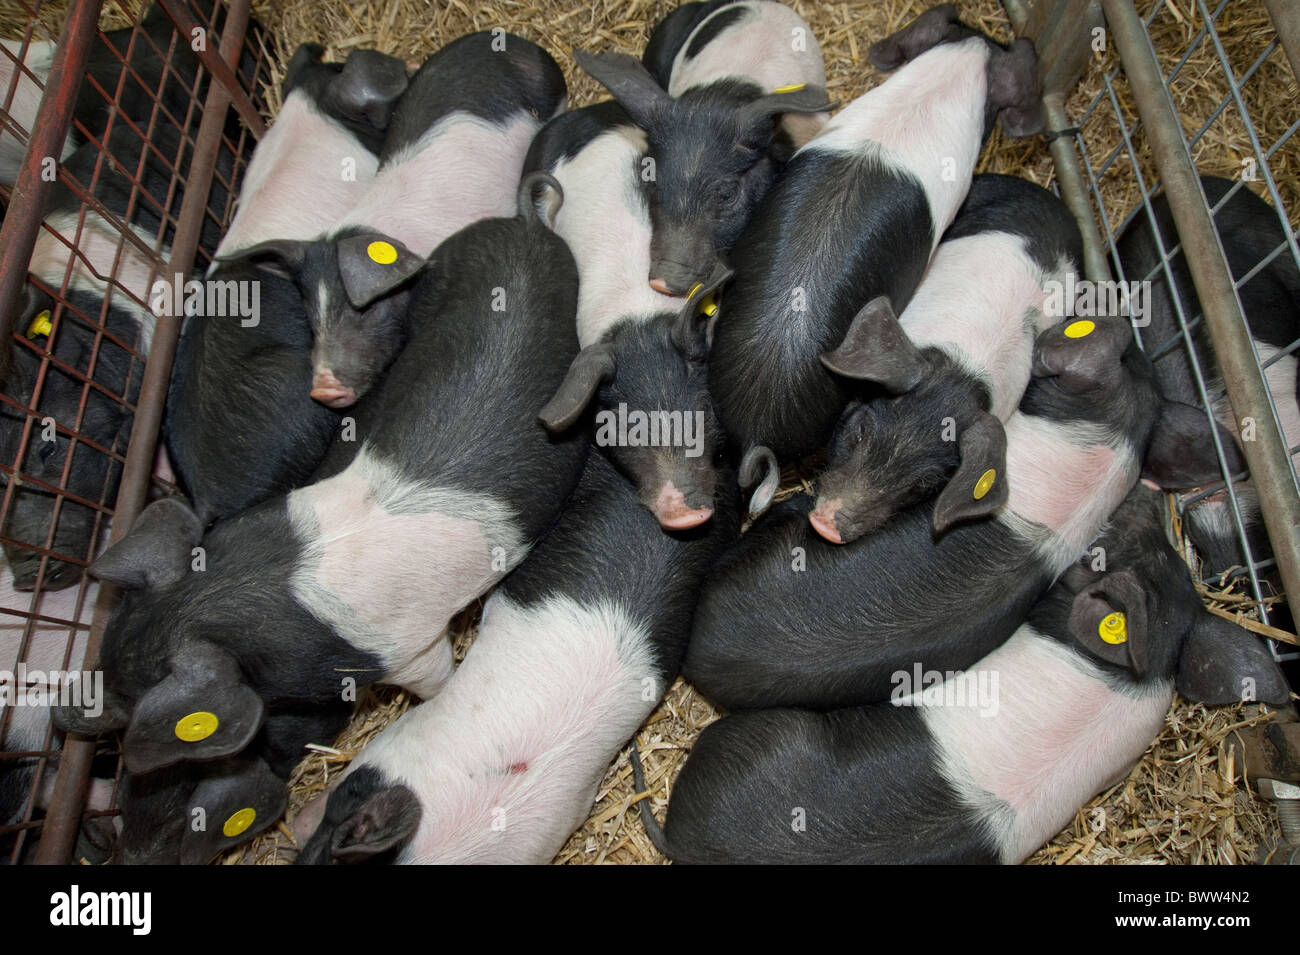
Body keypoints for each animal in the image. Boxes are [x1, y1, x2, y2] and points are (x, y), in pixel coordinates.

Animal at [54, 175, 588, 777]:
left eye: (135, 694)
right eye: (106, 644)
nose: (61, 715)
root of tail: (525, 222)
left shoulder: (405, 646)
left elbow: (434, 679)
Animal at [639, 483, 1291, 864]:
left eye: (1112, 551)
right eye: (1160, 553)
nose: (1152, 491)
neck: (1134, 671)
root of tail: (687, 839)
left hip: (764, 731)